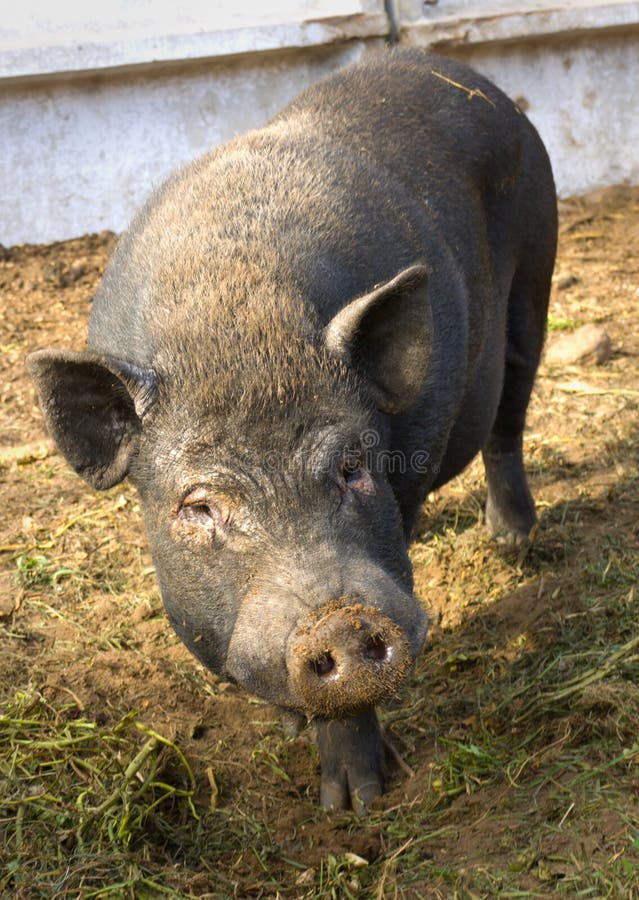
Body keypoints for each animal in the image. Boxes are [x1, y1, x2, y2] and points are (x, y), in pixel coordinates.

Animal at [27, 49, 557, 812]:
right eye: (199, 506)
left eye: (351, 467)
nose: (339, 619)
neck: (234, 325)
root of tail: (465, 74)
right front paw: (290, 733)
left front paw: (354, 804)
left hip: (535, 276)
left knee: (509, 417)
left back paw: (511, 542)